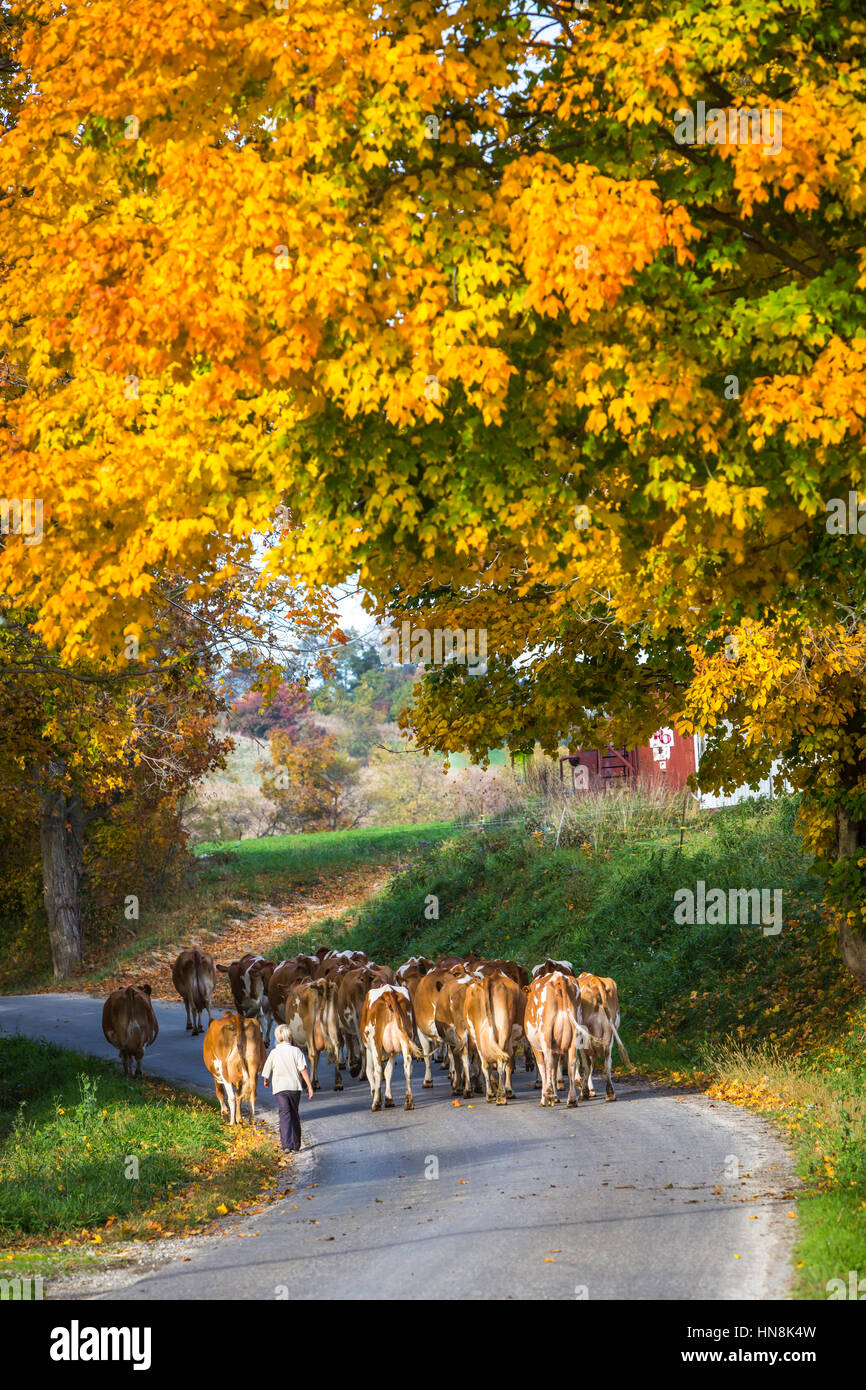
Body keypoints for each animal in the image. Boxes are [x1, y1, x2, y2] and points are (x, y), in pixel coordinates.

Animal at [465, 972, 525, 1103]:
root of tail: (490, 978)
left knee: (485, 1064)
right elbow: (509, 1064)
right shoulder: (513, 1042)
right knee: (502, 1060)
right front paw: (509, 1090)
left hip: (477, 1035)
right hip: (504, 1029)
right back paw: (501, 1095)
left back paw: (490, 1094)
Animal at [524, 971, 589, 1107]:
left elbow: (543, 1069)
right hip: (574, 1036)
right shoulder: (557, 1049)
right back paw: (571, 1100)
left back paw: (547, 1094)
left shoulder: (535, 1047)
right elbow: (554, 1072)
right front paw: (555, 1097)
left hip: (546, 1035)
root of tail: (558, 977)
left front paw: (546, 1098)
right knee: (572, 1062)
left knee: (548, 1062)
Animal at [576, 972, 631, 1101]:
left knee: (587, 1064)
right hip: (609, 1034)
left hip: (583, 1037)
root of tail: (594, 980)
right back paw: (610, 1093)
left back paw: (584, 1093)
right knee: (607, 1062)